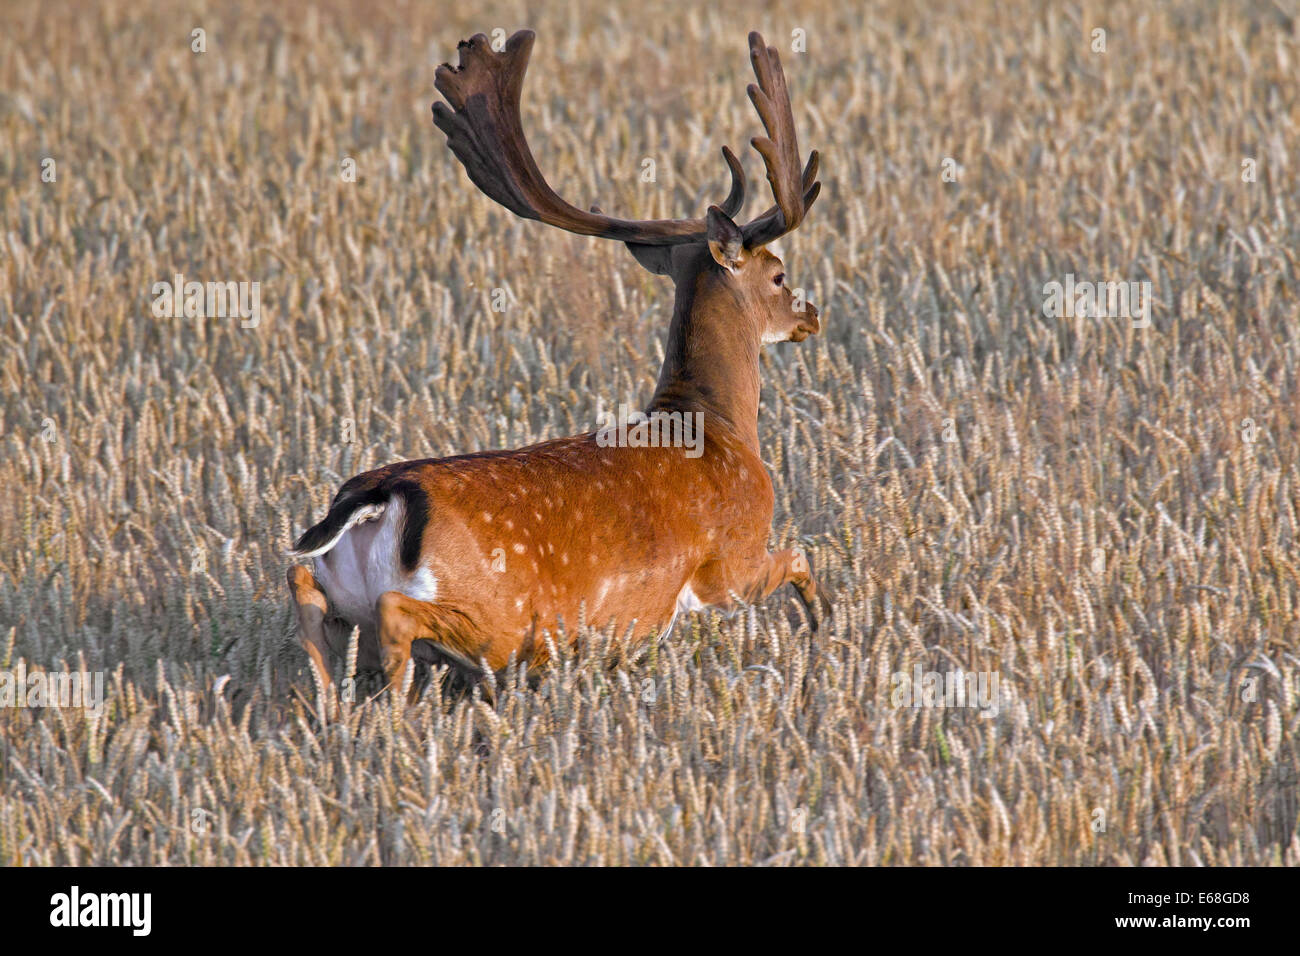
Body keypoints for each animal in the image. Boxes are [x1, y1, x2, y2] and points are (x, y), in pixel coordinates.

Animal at [286, 29, 830, 701]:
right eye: (778, 274)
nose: (812, 314)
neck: (720, 425)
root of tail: (381, 495)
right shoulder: (732, 559)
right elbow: (800, 556)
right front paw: (824, 628)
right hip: (501, 616)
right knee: (398, 613)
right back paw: (395, 711)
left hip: (346, 590)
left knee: (304, 587)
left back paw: (330, 708)